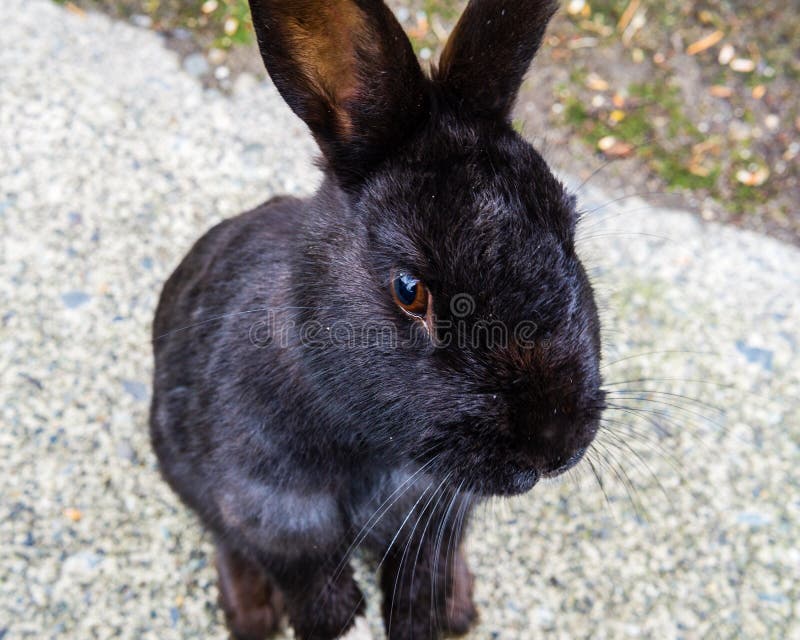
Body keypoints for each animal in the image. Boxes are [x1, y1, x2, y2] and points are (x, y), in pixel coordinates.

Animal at [149, 0, 606, 638]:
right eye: (410, 291)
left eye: (571, 229)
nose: (555, 445)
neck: (377, 449)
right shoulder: (273, 515)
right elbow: (308, 583)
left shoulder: (436, 515)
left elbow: (419, 579)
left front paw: (433, 615)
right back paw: (251, 615)